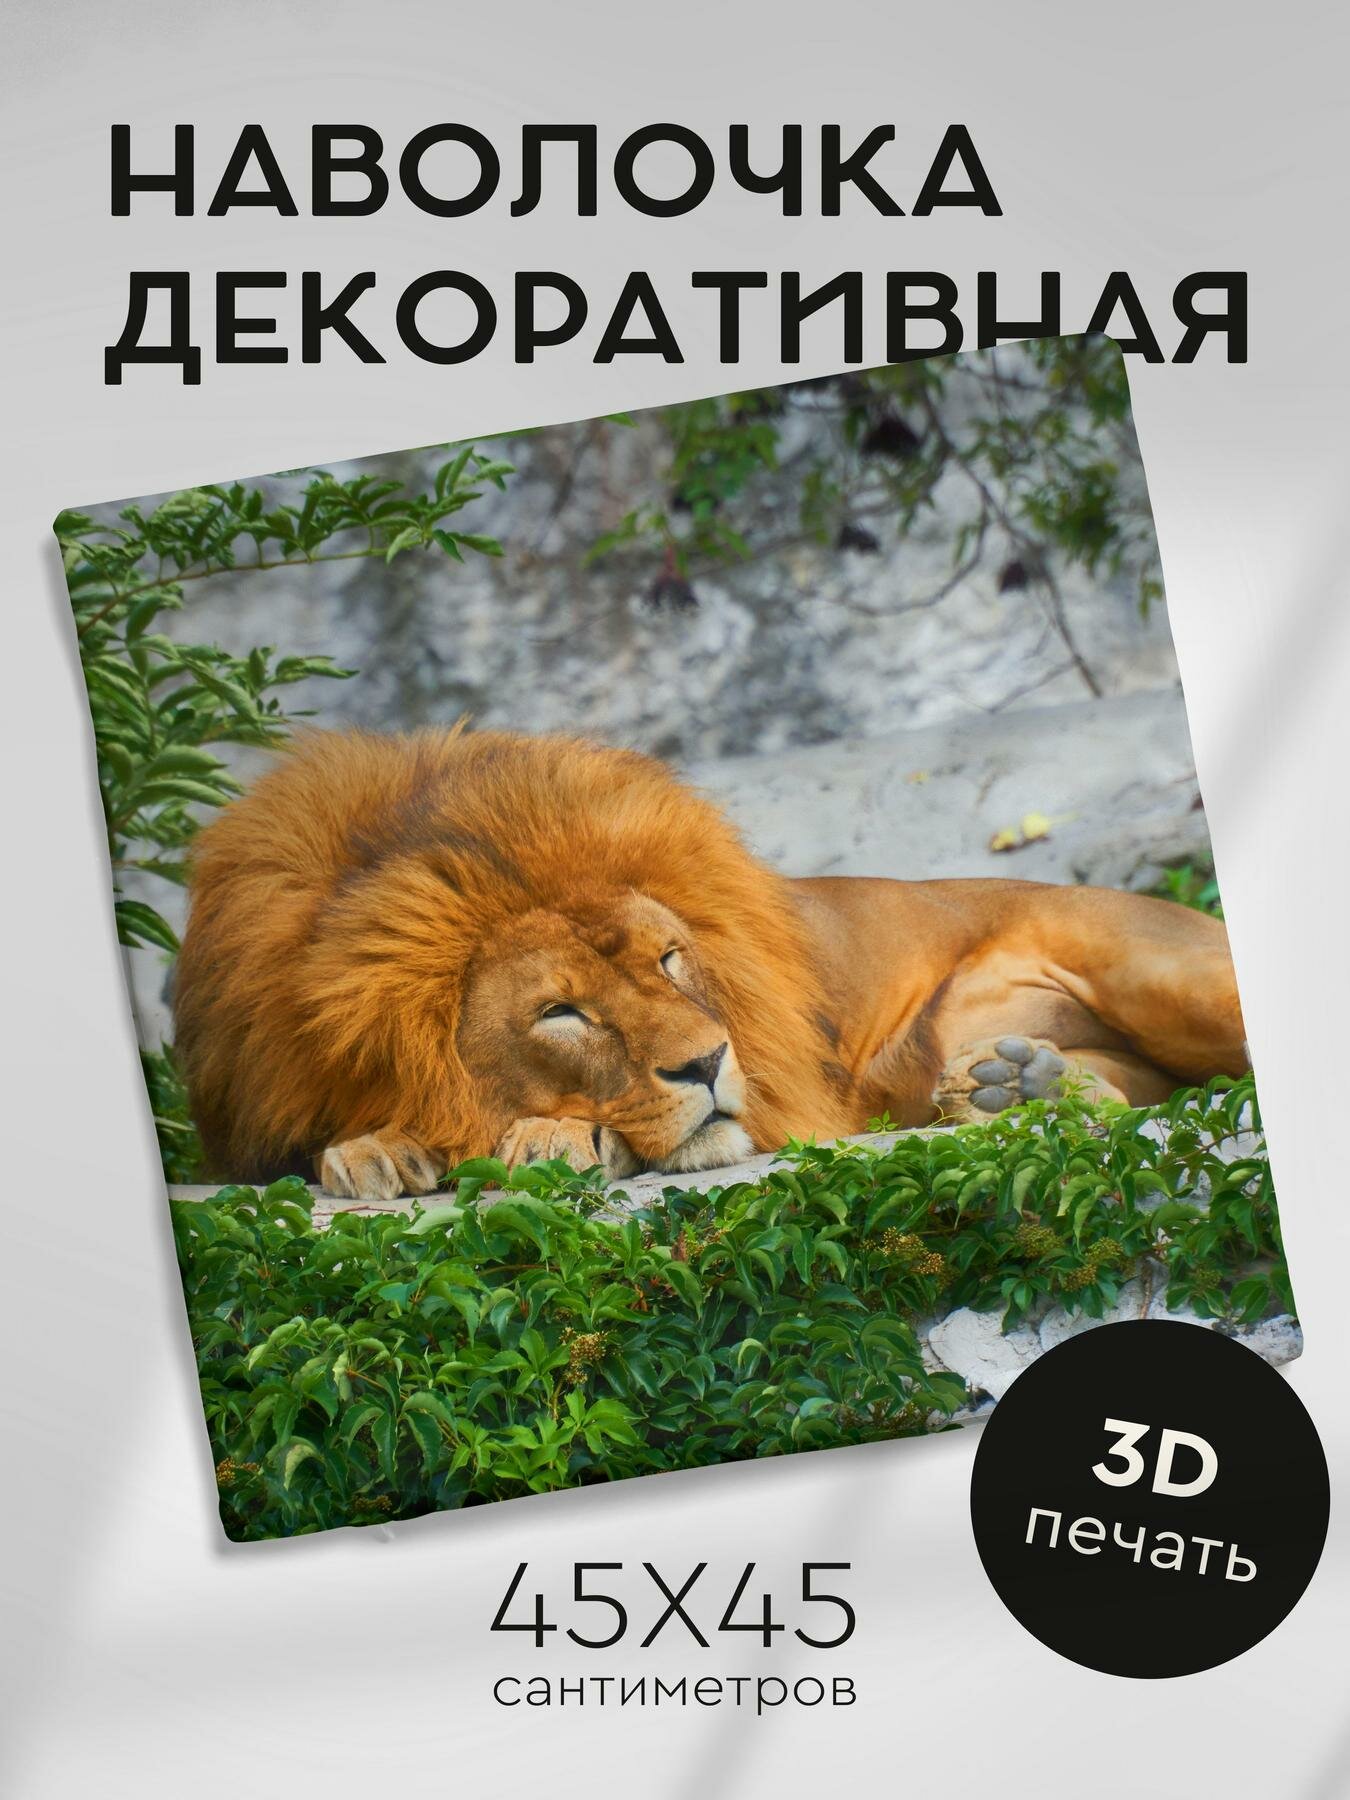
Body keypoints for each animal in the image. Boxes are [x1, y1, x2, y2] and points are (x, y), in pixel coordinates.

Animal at [173, 725, 1248, 1200]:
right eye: (561, 1013)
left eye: (670, 959)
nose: (707, 1063)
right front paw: (376, 1149)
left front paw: (554, 1139)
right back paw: (1019, 1087)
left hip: (1165, 975)